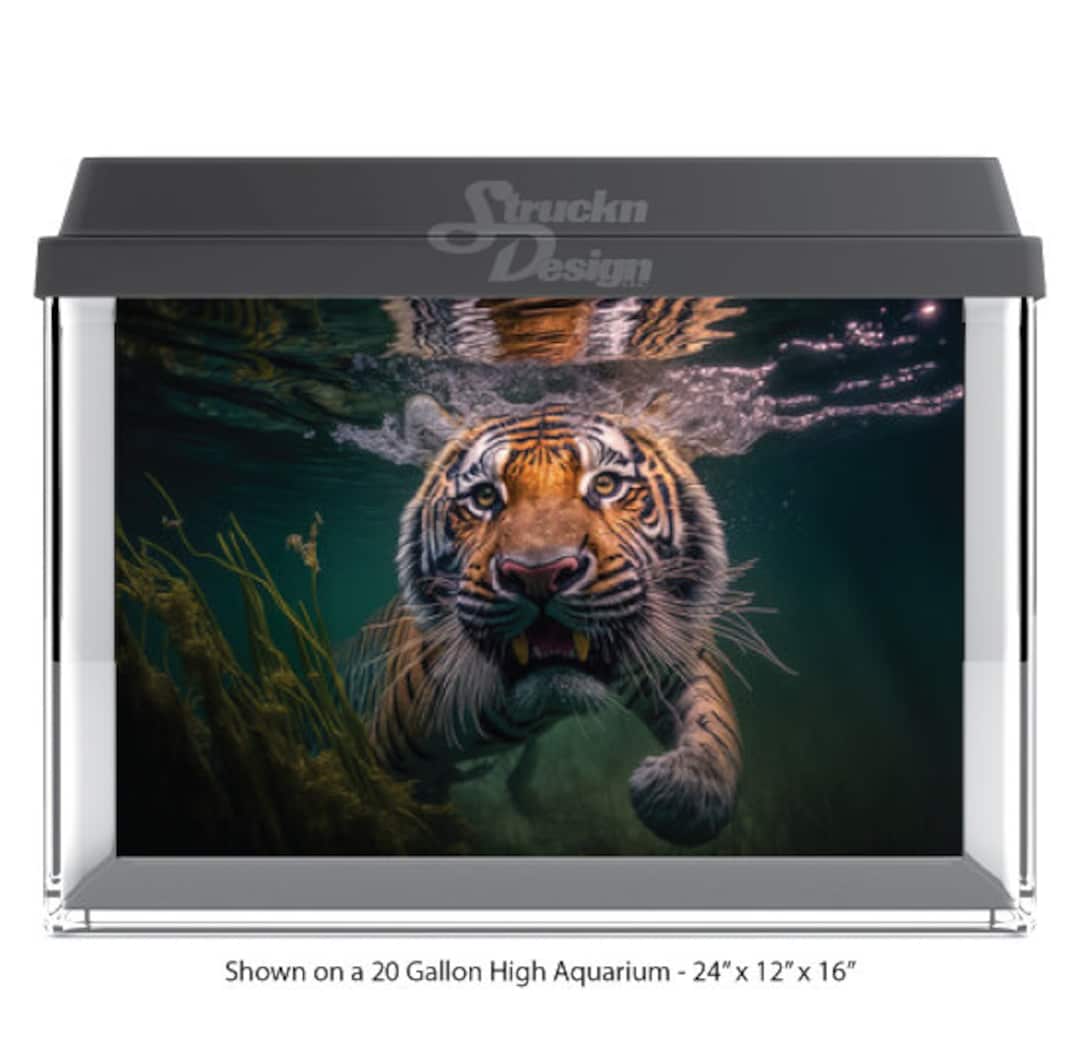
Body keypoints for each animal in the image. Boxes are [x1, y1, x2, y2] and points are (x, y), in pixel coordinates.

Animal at [341, 401, 744, 846]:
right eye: (484, 496)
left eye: (605, 484)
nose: (538, 573)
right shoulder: (379, 749)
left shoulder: (672, 657)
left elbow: (714, 724)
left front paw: (684, 790)